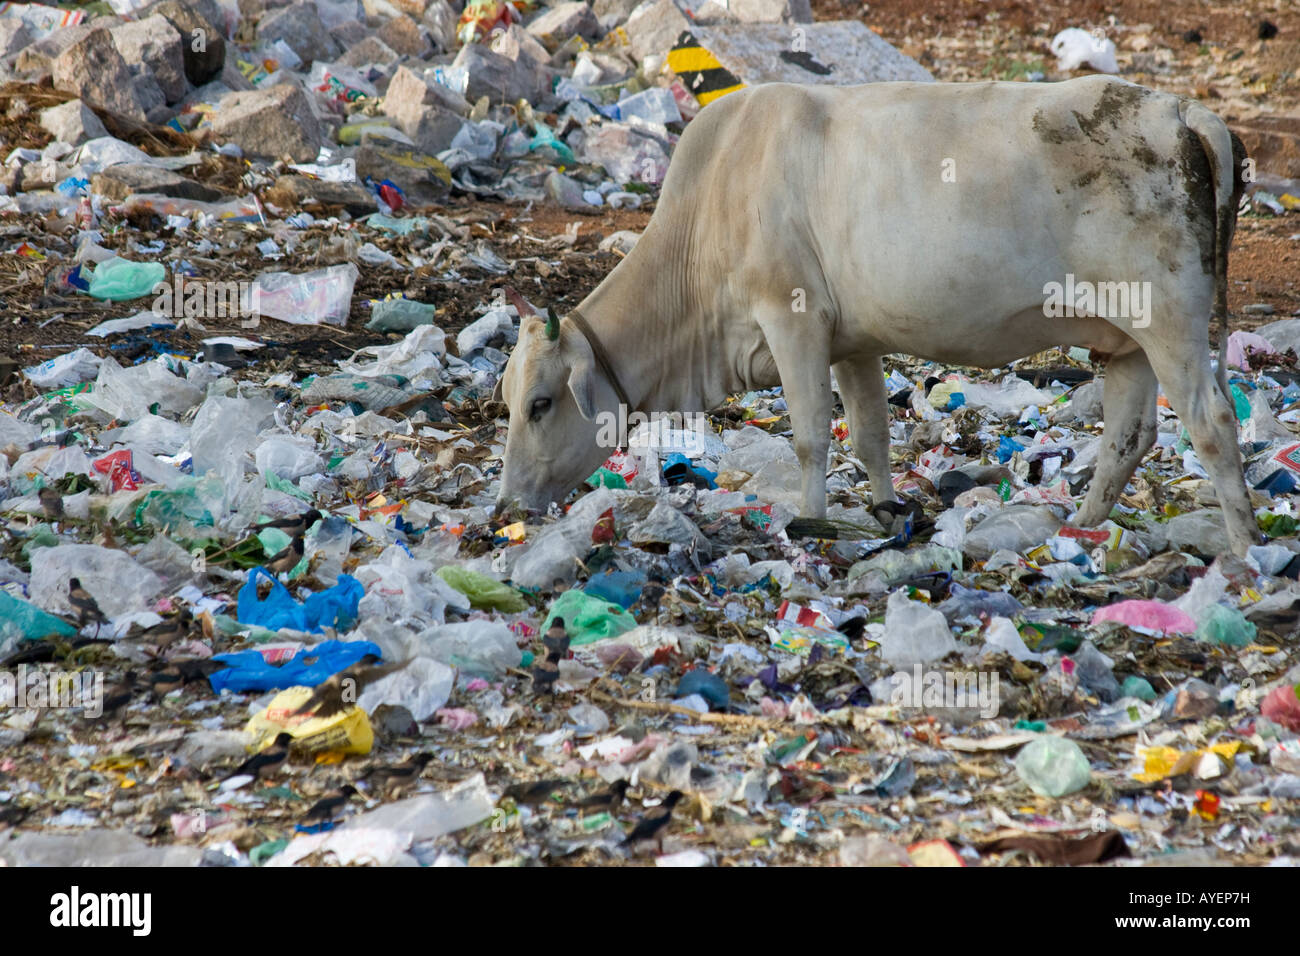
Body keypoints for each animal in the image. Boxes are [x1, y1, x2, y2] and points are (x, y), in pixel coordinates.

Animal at [495, 76, 1260, 555]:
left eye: (539, 404)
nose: (505, 507)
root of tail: (1183, 112)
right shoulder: (852, 342)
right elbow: (869, 438)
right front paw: (888, 512)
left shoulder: (792, 319)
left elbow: (810, 437)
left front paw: (809, 524)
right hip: (1127, 339)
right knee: (1129, 438)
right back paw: (1079, 528)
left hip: (1172, 319)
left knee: (1214, 423)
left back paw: (1246, 551)